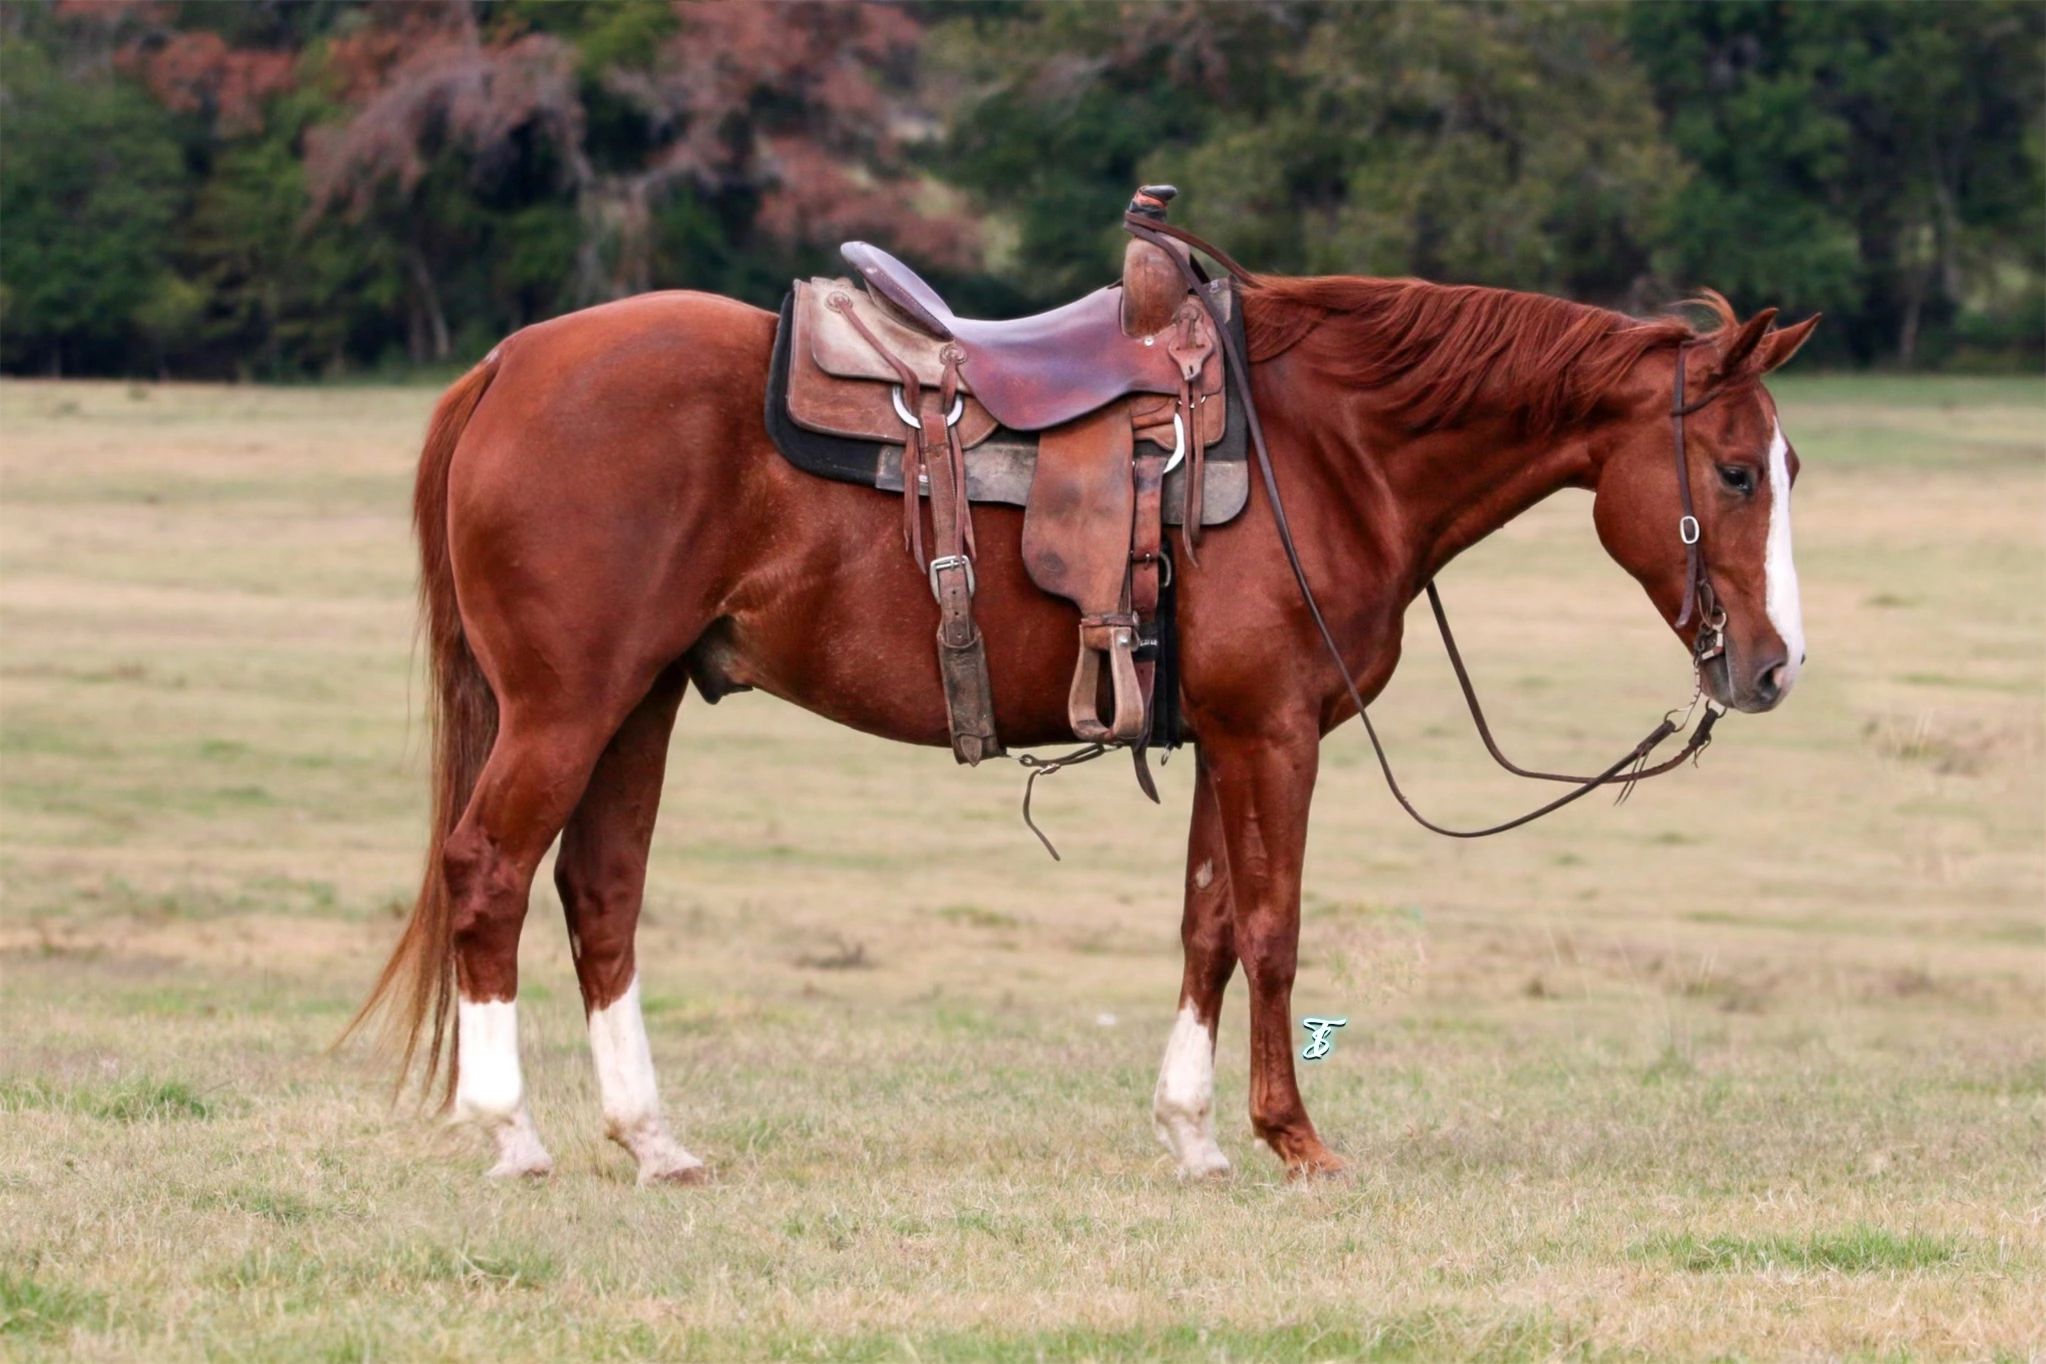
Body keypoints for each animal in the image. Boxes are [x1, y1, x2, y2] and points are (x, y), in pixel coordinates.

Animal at [346, 267, 1816, 1183]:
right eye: (1737, 471)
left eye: (1787, 465)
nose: (1773, 668)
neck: (1329, 449)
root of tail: (508, 365)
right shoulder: (1273, 733)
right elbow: (1273, 928)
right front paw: (1293, 1138)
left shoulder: (1224, 734)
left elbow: (1208, 923)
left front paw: (1194, 1134)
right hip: (567, 703)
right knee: (488, 871)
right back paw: (513, 1132)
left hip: (637, 702)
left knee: (600, 893)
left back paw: (653, 1141)